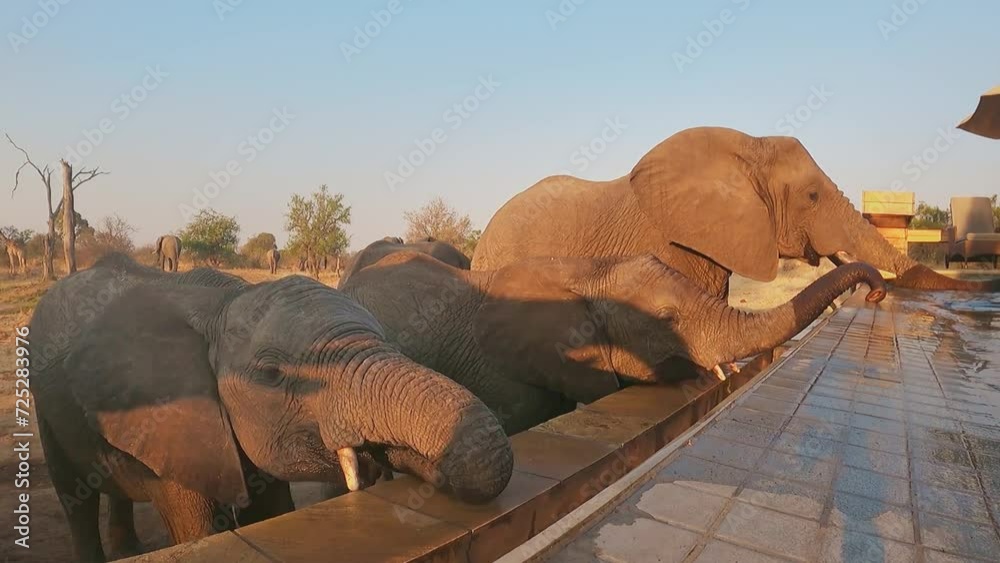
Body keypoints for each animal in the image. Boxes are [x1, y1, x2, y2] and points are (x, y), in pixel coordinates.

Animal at [30, 253, 513, 562]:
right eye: (272, 374)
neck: (221, 305)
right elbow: (197, 528)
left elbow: (275, 508)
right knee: (74, 496)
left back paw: (129, 550)